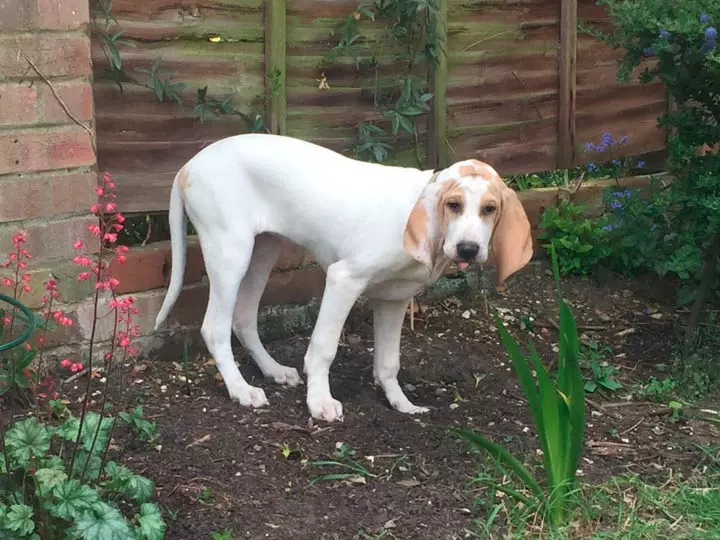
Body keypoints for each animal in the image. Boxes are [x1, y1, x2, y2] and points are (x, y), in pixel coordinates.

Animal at [153, 134, 536, 422]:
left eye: (489, 209)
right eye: (453, 205)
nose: (469, 249)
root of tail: (189, 165)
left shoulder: (393, 298)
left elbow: (388, 361)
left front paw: (401, 403)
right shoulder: (343, 279)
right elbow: (323, 349)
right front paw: (320, 402)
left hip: (263, 250)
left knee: (243, 319)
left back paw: (273, 370)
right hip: (230, 252)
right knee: (214, 328)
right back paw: (240, 389)